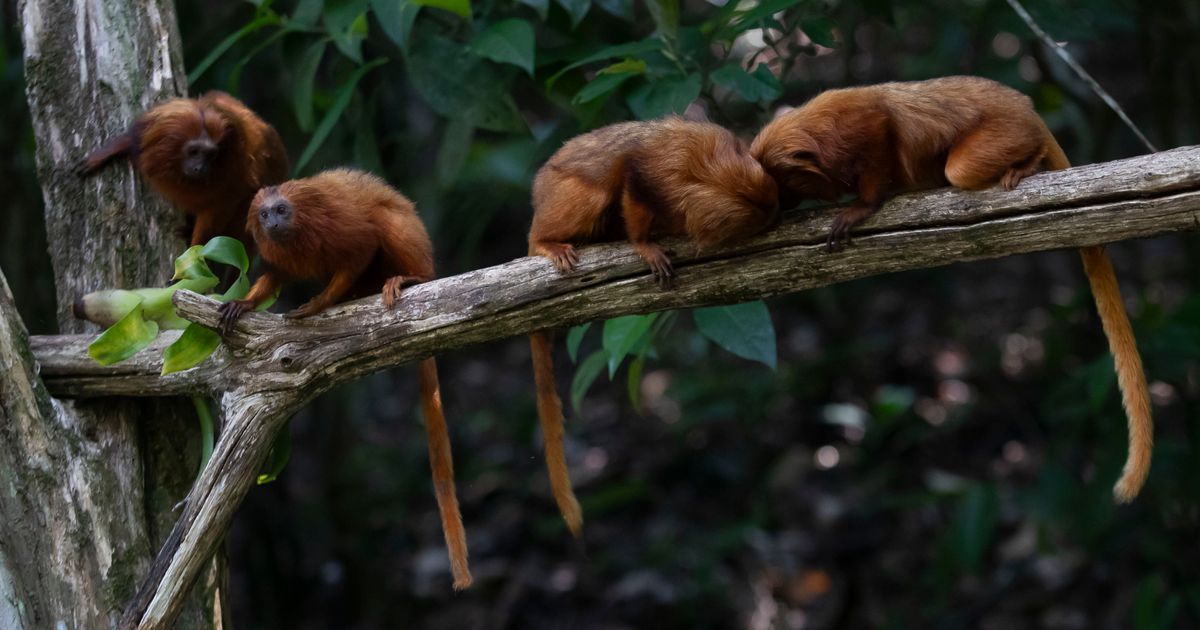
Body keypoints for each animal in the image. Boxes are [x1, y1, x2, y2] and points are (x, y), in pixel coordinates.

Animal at [77, 91, 289, 251]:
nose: (200, 168)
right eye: (194, 152)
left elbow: (218, 211)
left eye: (210, 155)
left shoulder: (233, 174)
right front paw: (112, 148)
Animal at [216, 168, 472, 589]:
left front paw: (319, 304)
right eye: (265, 214)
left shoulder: (337, 227)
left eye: (281, 210)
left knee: (387, 220)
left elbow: (361, 246)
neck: (298, 231)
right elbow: (275, 276)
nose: (272, 223)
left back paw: (410, 278)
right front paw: (245, 302)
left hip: (418, 250)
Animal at [527, 117, 781, 535]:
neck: (705, 168)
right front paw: (644, 245)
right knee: (591, 194)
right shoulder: (655, 174)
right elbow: (630, 182)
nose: (774, 213)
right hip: (556, 196)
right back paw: (546, 242)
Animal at [750, 75, 1152, 501]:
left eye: (782, 182)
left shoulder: (856, 126)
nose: (778, 204)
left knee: (961, 169)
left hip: (1004, 130)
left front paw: (863, 206)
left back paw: (1030, 159)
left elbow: (882, 127)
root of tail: (1024, 108)